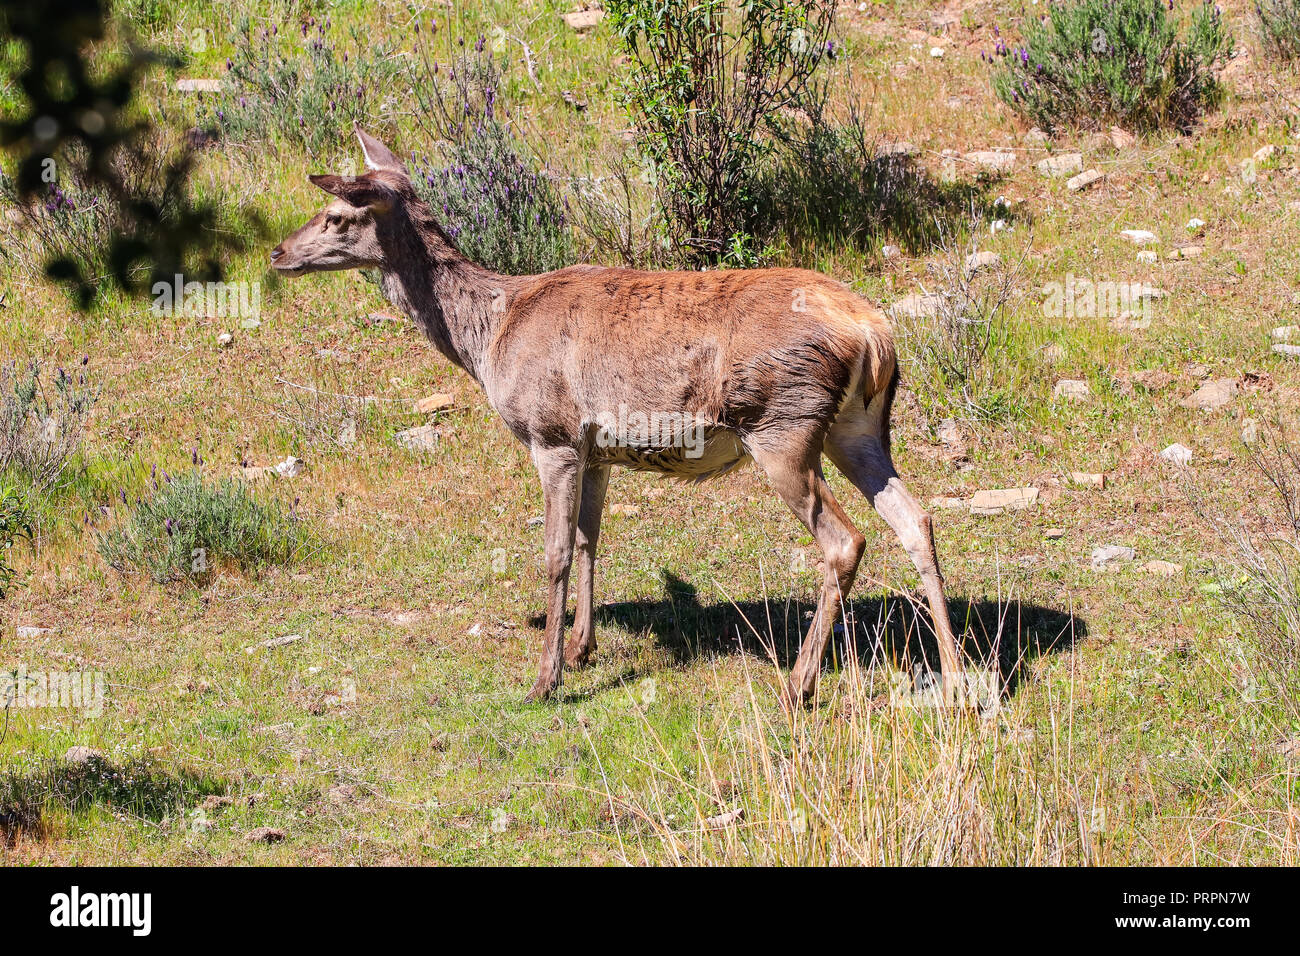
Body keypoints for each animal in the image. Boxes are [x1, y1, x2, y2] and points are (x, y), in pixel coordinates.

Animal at [271, 127, 963, 707]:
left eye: (337, 215)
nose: (278, 252)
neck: (491, 335)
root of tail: (875, 336)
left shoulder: (550, 434)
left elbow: (553, 551)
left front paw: (544, 679)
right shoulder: (596, 448)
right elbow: (589, 538)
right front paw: (582, 648)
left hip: (783, 426)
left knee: (845, 540)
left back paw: (799, 684)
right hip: (857, 429)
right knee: (917, 519)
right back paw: (956, 675)